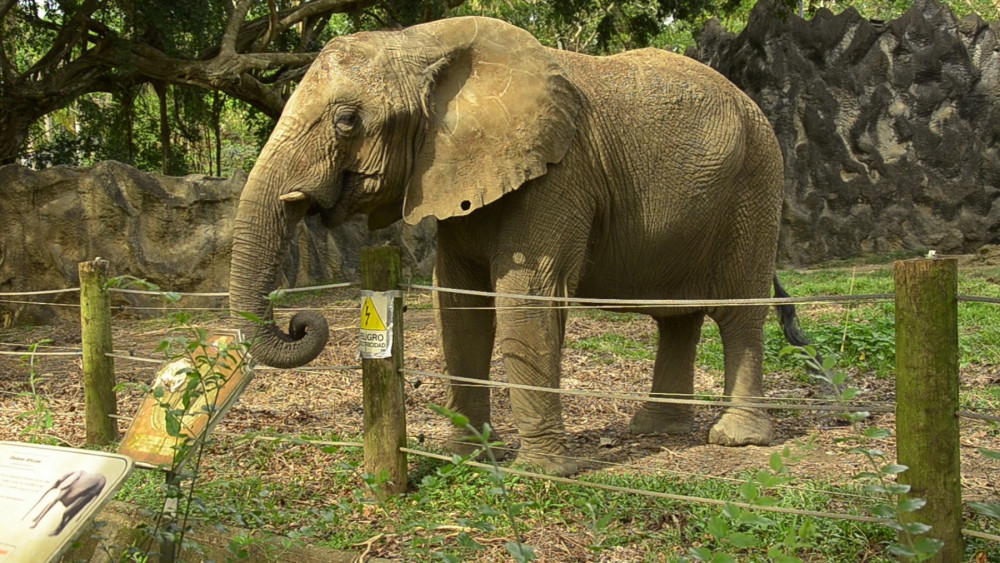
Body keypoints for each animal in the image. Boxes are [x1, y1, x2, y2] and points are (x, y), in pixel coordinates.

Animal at [229, 16, 813, 476]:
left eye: (347, 121)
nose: (302, 322)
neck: (423, 44)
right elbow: (458, 307)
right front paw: (464, 457)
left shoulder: (557, 175)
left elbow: (526, 299)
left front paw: (543, 473)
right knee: (677, 316)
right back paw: (654, 427)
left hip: (756, 185)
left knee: (739, 312)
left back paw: (736, 438)